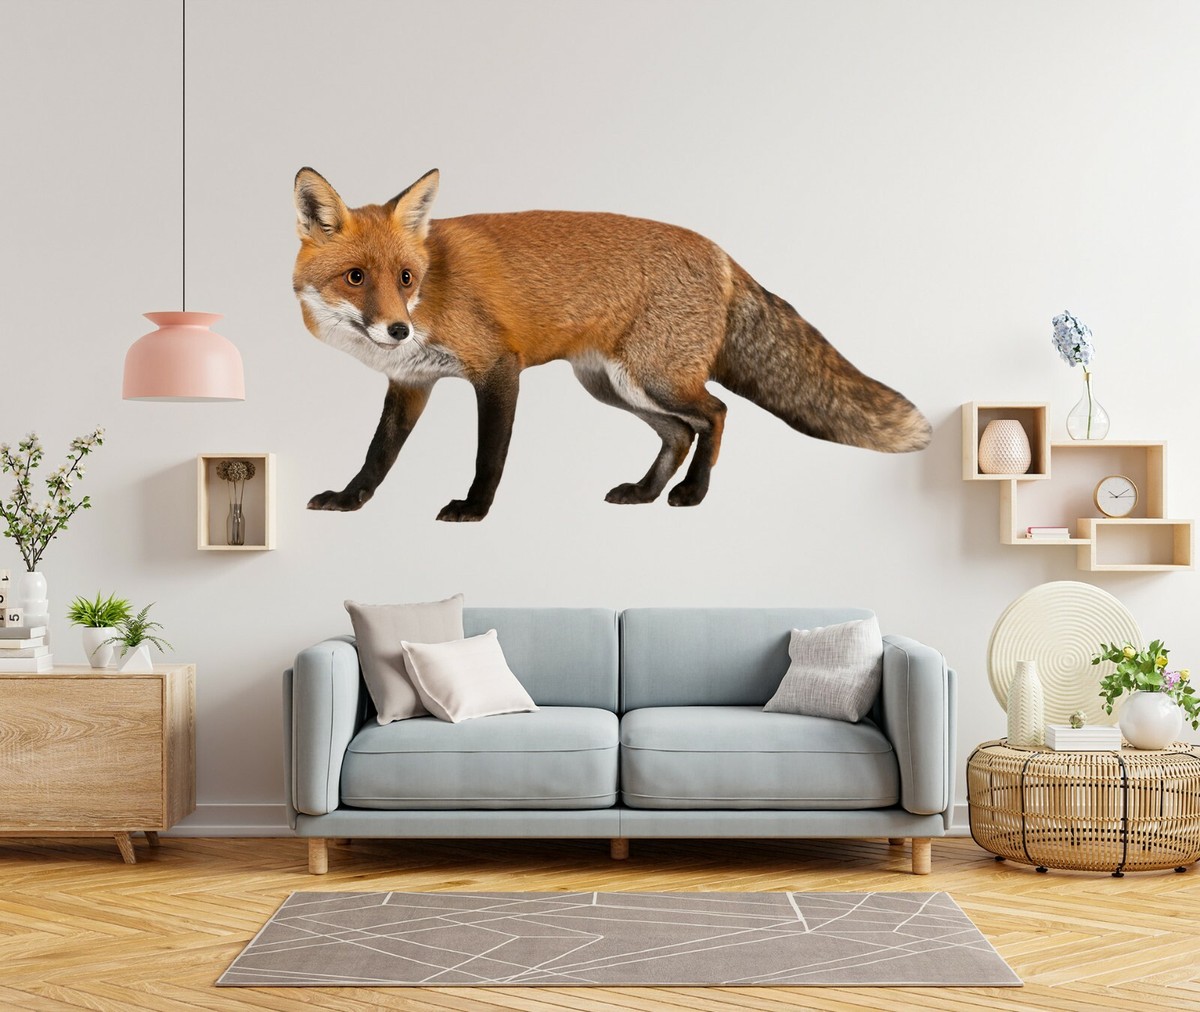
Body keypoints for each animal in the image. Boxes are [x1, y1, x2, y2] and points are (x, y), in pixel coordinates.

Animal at [292, 168, 930, 522]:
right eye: (355, 278)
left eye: (405, 278)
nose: (397, 330)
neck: (432, 290)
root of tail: (721, 252)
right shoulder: (411, 382)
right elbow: (378, 454)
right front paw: (350, 501)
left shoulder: (498, 368)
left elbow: (488, 455)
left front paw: (474, 509)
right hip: (612, 386)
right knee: (679, 432)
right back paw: (645, 492)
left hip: (653, 378)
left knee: (717, 413)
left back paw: (692, 493)